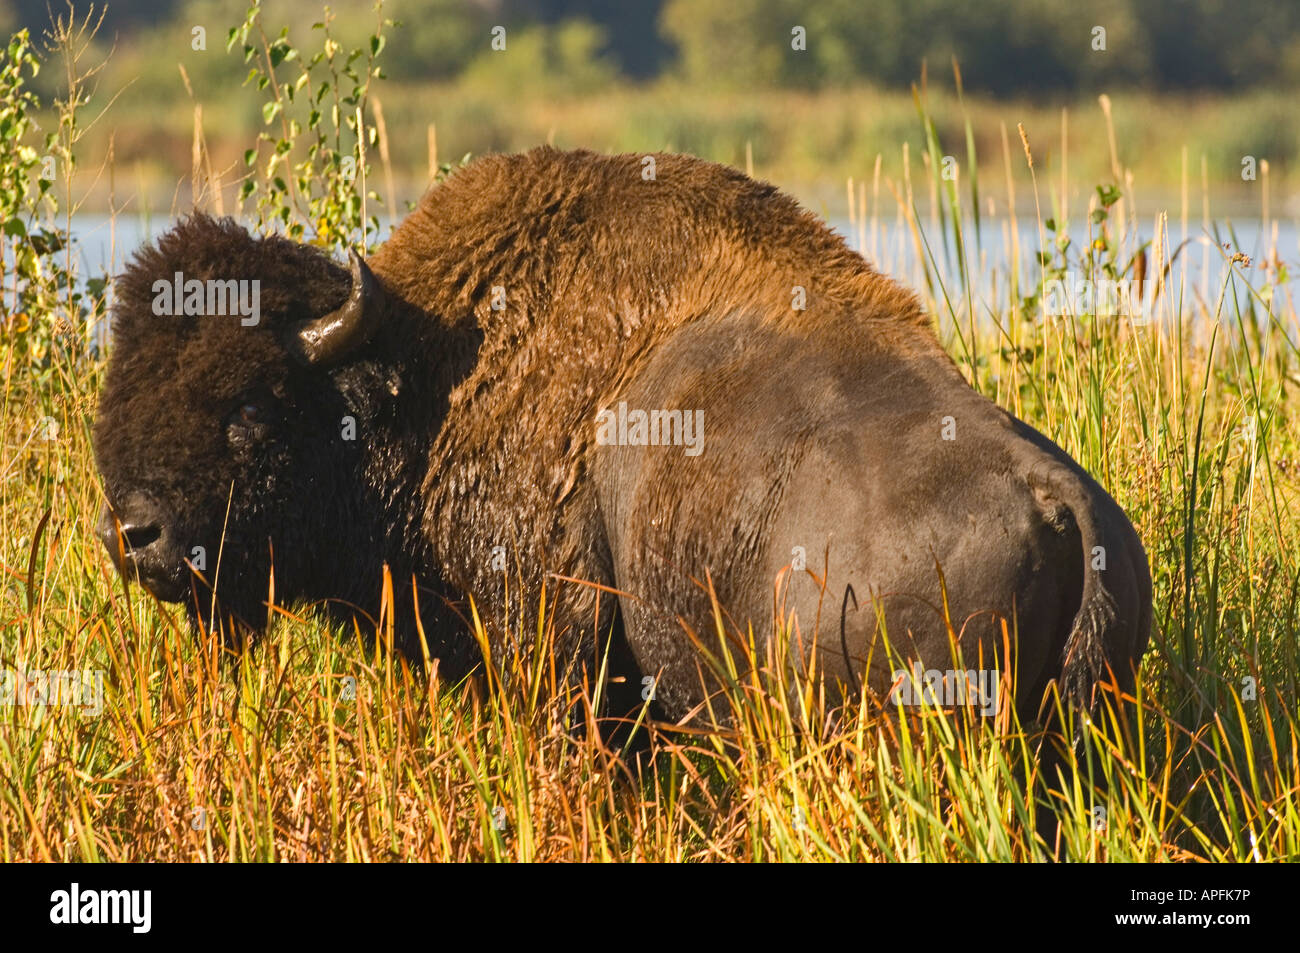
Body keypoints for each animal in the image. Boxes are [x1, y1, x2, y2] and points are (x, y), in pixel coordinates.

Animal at [93, 147, 1151, 726]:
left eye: (250, 410)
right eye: (118, 397)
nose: (132, 534)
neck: (429, 374)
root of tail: (1064, 506)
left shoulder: (558, 651)